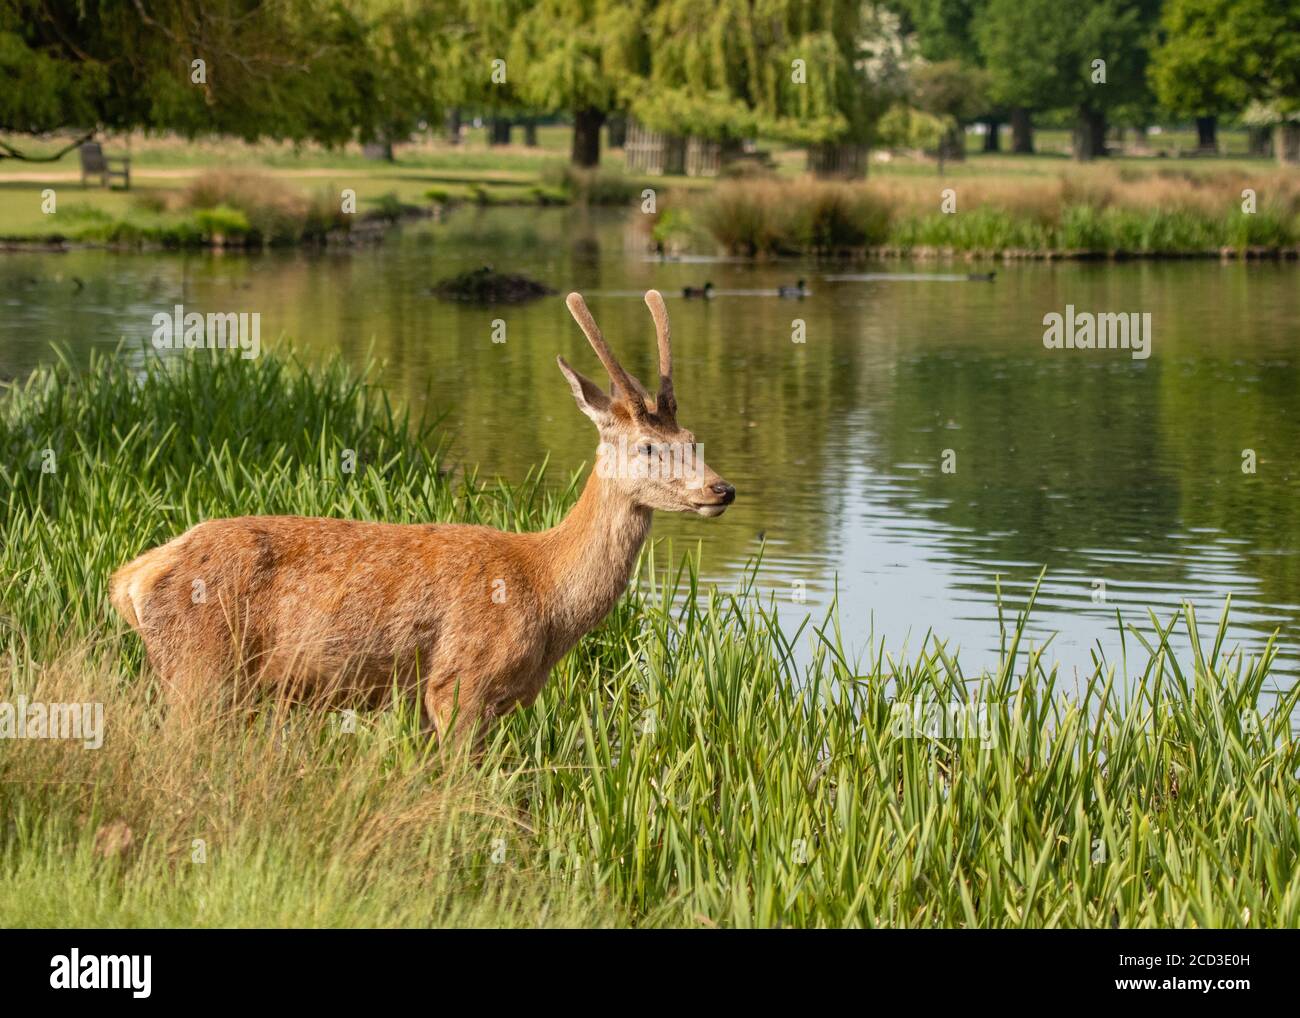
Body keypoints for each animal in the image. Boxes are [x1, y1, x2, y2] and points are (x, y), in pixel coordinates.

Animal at [109, 290, 735, 742]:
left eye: (693, 438)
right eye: (649, 447)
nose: (722, 488)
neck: (546, 592)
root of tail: (130, 579)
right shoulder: (459, 683)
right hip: (199, 671)